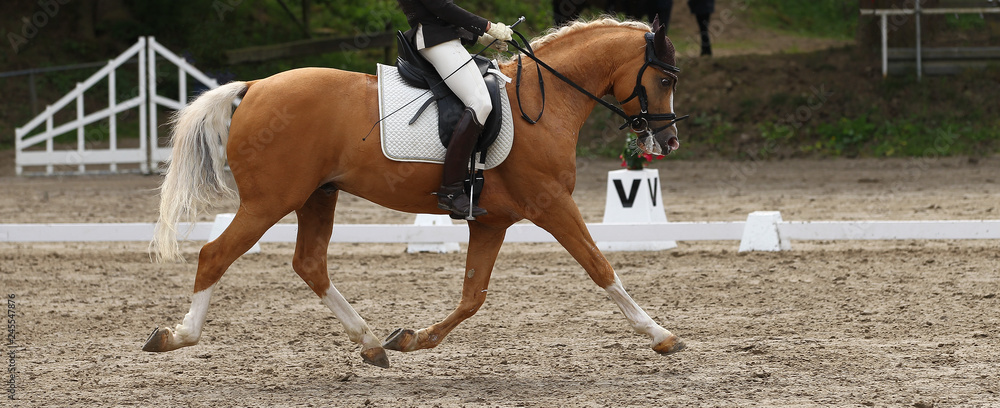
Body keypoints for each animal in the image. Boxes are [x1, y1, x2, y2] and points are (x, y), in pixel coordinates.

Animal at [143, 17, 688, 368]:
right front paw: (661, 335)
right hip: (269, 202)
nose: (668, 141)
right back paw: (176, 336)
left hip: (317, 196)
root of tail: (255, 86)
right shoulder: (552, 204)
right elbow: (601, 268)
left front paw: (411, 339)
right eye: (663, 77)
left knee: (310, 263)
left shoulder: (491, 221)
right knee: (215, 254)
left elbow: (472, 296)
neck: (542, 102)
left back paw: (370, 343)